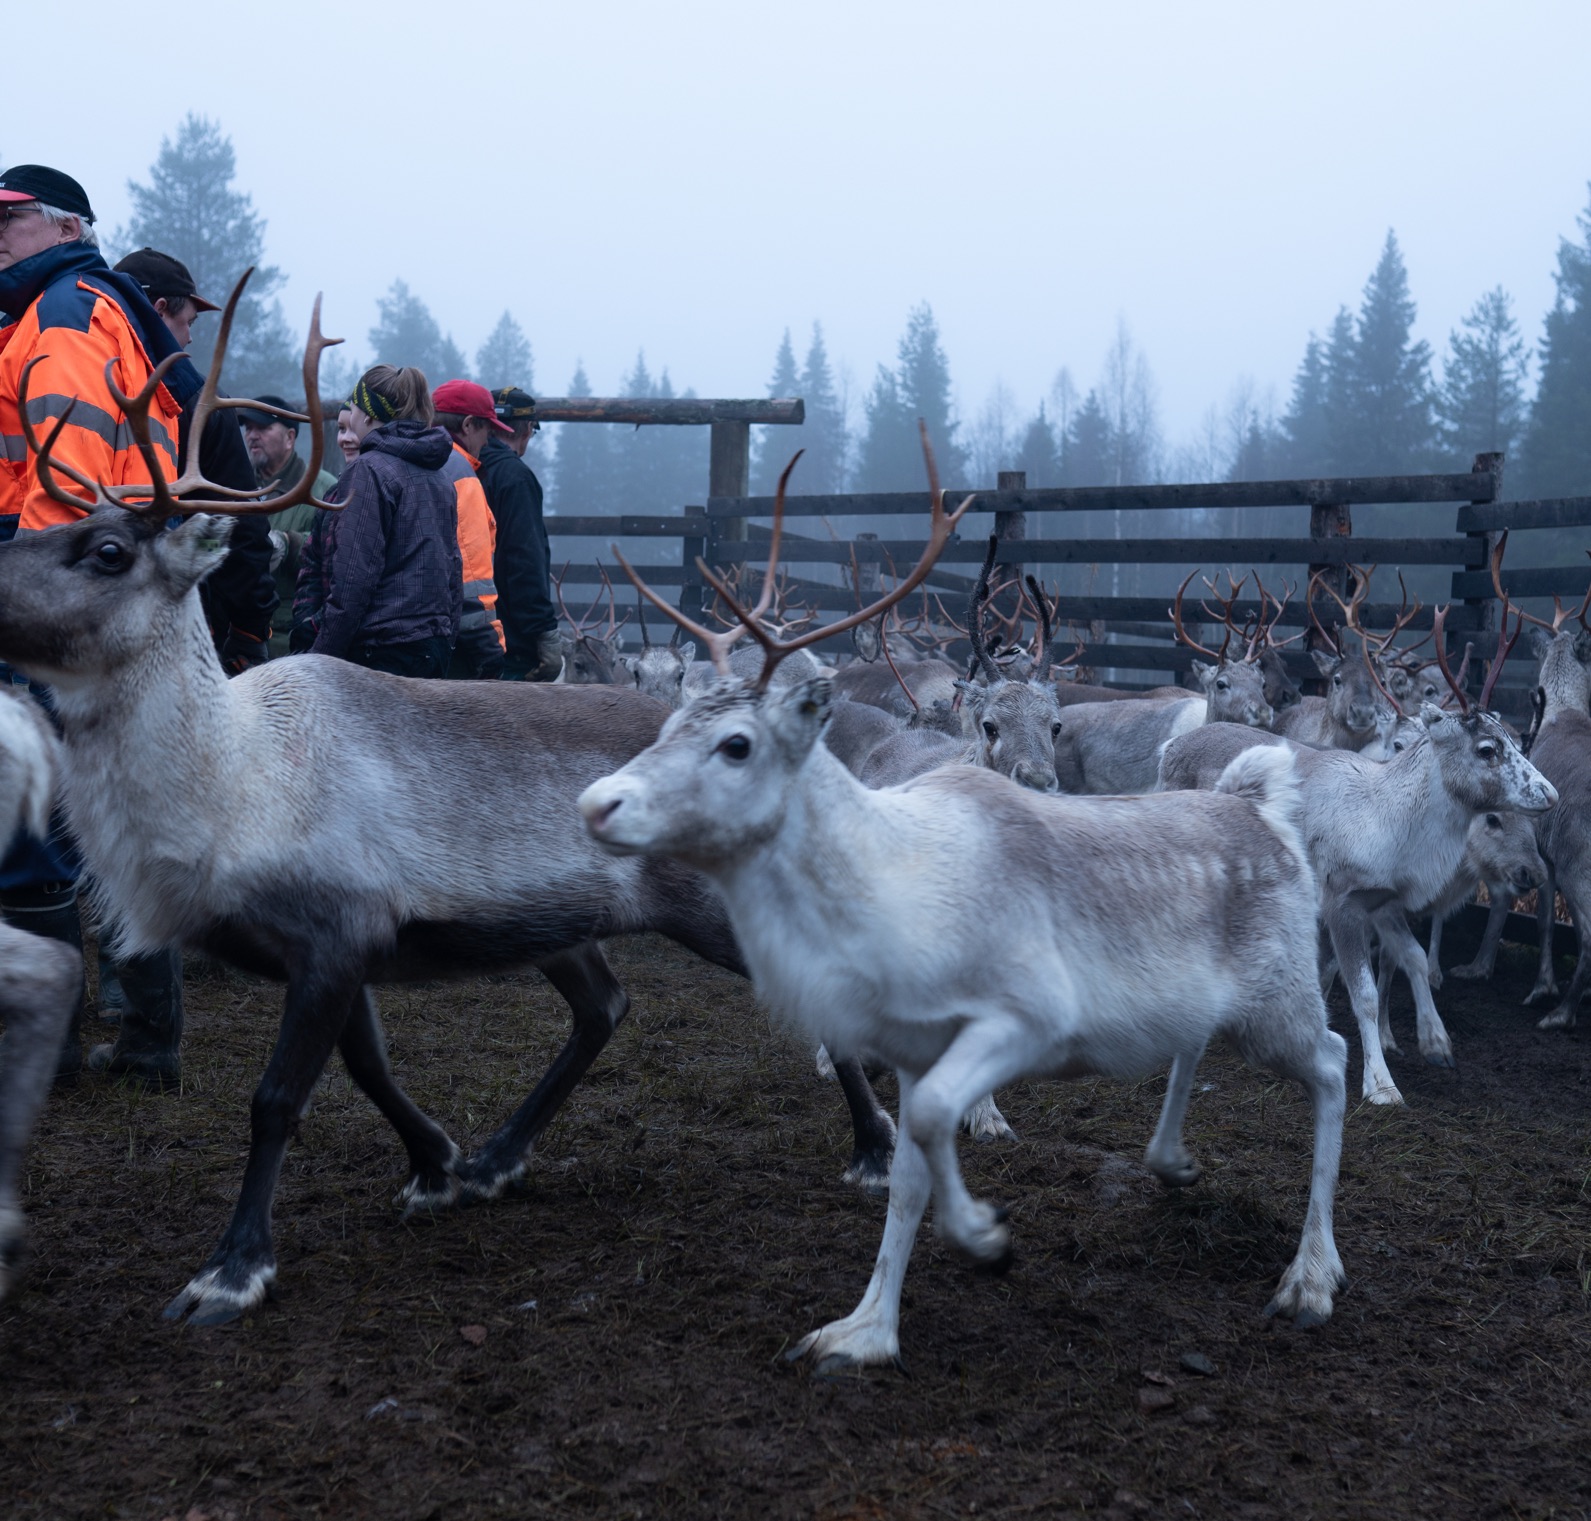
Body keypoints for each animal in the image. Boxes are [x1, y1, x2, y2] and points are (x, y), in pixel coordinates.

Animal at [0, 284, 902, 1325]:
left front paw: (230, 1269)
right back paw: (500, 1157)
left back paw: (874, 1148)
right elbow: (368, 1068)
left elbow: (276, 1099)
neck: (227, 783)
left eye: (107, 549)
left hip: (708, 905)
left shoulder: (335, 929)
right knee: (604, 1006)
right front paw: (437, 1163)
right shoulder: (332, 946)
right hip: (562, 923)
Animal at [580, 425, 1351, 1372]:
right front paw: (863, 1327)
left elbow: (937, 1120)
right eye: (662, 725)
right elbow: (907, 1166)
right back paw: (1171, 1161)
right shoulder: (917, 1046)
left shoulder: (1024, 1012)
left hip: (1282, 996)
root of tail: (1259, 800)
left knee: (1332, 1060)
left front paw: (982, 1231)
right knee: (1195, 1040)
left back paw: (1309, 1275)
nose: (599, 801)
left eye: (736, 742)